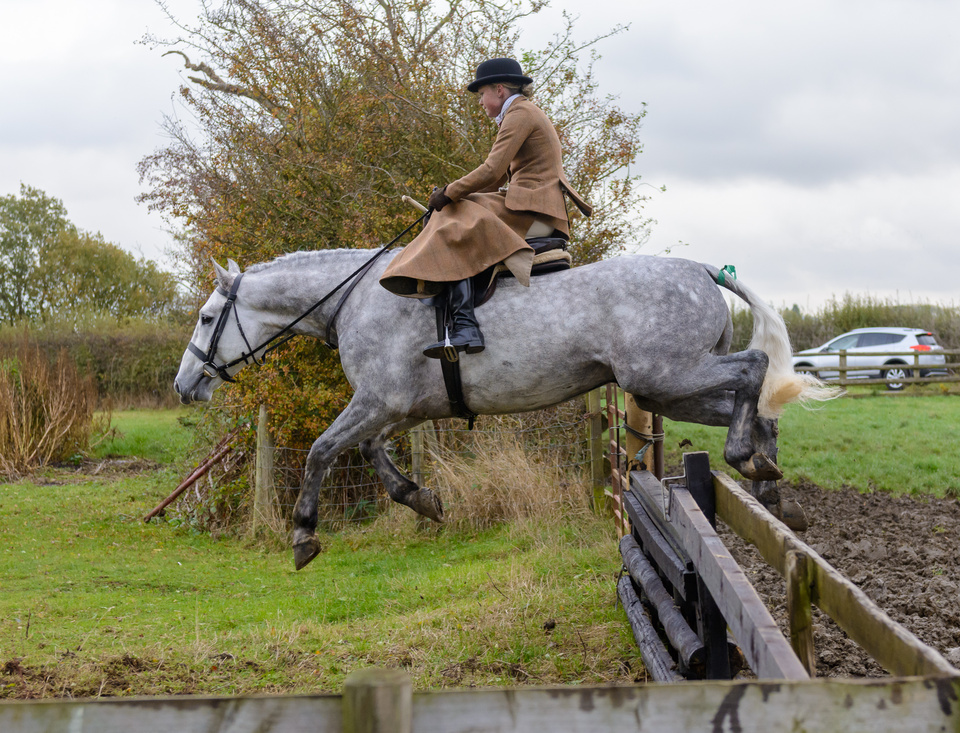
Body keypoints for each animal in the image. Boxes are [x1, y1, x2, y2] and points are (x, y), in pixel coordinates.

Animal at [174, 249, 835, 570]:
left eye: (206, 319)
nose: (185, 386)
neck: (354, 299)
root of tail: (701, 269)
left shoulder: (378, 400)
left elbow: (321, 450)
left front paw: (304, 535)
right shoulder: (400, 407)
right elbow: (367, 449)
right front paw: (421, 498)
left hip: (666, 375)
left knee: (753, 370)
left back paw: (746, 460)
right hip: (663, 390)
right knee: (755, 407)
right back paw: (770, 484)